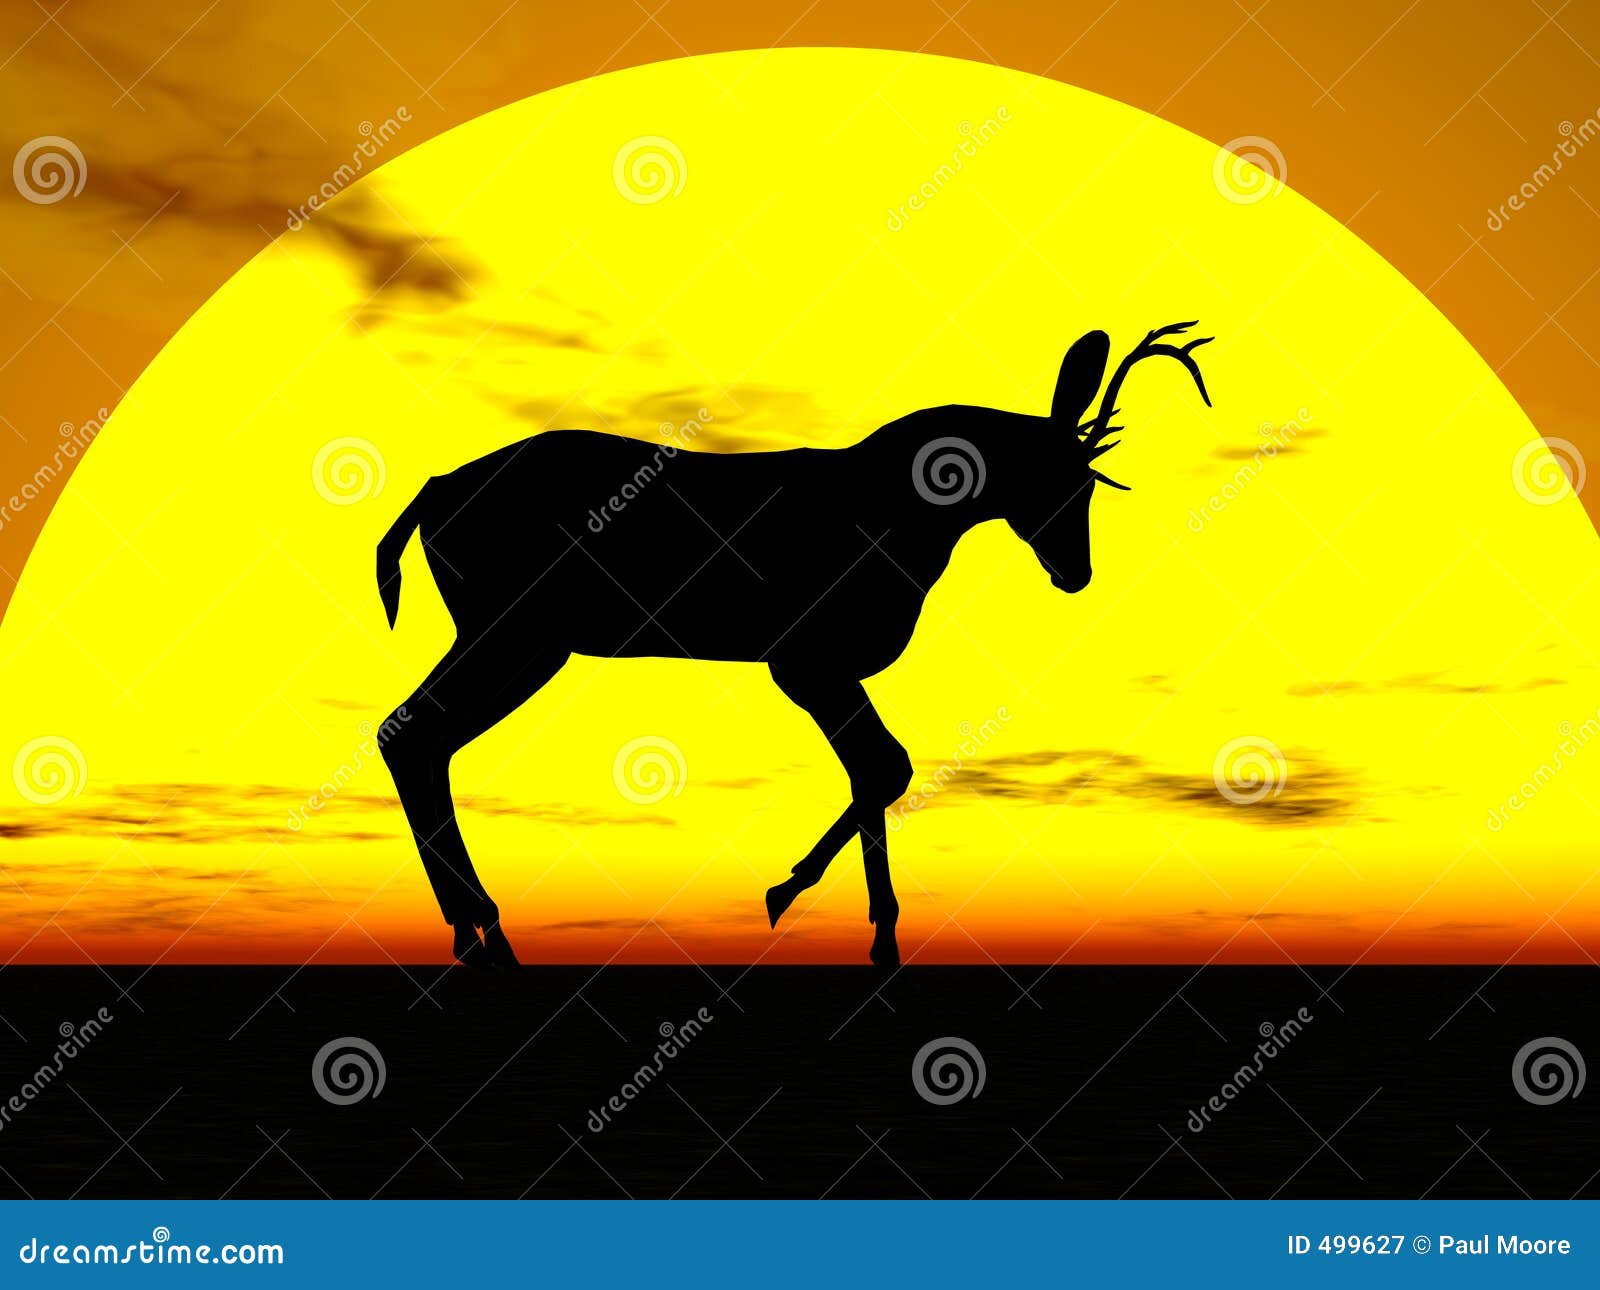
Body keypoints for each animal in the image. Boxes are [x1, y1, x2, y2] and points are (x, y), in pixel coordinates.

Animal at [375, 322, 1212, 968]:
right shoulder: (804, 660)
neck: (905, 506)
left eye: (1092, 483)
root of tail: (432, 491)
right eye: (1066, 479)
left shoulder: (824, 667)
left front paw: (878, 938)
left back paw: (481, 936)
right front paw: (792, 897)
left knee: (421, 739)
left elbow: (879, 767)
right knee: (405, 731)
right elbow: (885, 765)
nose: (1077, 571)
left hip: (525, 642)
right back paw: (481, 930)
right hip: (513, 631)